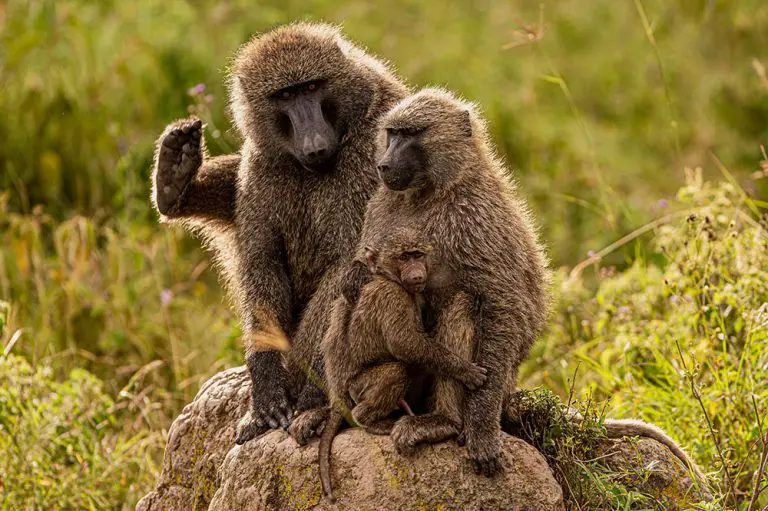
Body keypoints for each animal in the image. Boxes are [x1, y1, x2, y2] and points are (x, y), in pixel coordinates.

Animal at [149, 23, 410, 442]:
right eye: (285, 95)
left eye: (312, 87)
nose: (315, 144)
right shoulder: (263, 163)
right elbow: (262, 259)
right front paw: (268, 389)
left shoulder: (372, 158)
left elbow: (348, 268)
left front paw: (311, 398)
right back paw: (174, 183)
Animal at [317, 229, 486, 501]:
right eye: (404, 257)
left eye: (417, 255)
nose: (417, 272)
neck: (391, 278)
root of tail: (340, 398)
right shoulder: (391, 296)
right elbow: (404, 343)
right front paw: (463, 369)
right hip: (358, 388)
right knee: (395, 372)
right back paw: (369, 421)